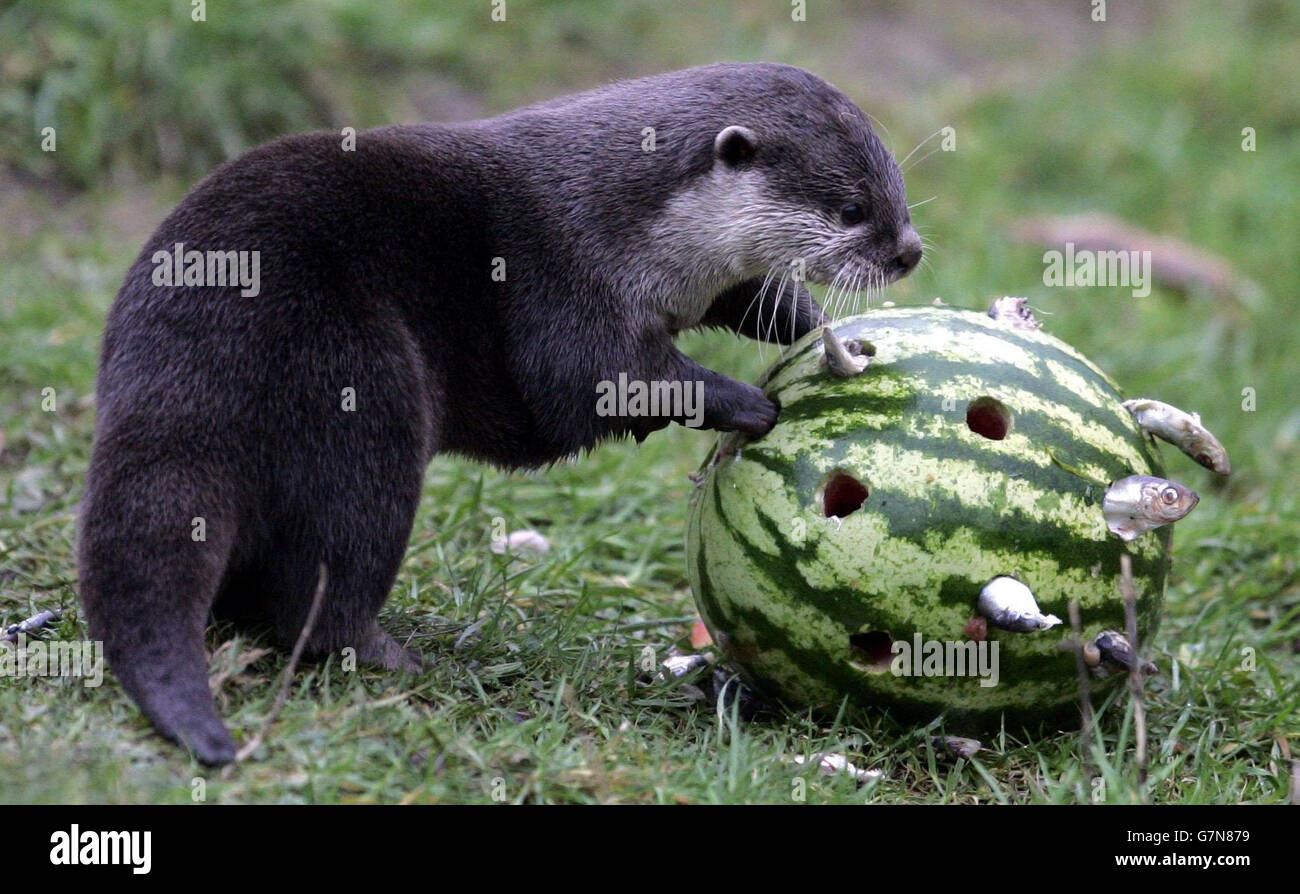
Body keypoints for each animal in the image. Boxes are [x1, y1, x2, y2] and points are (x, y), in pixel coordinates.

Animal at [77, 62, 921, 764]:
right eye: (853, 207)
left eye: (898, 190)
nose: (910, 251)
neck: (624, 222)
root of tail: (186, 371)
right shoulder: (569, 281)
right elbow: (593, 380)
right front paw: (750, 403)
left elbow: (745, 301)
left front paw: (810, 322)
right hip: (359, 388)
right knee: (328, 575)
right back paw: (397, 657)